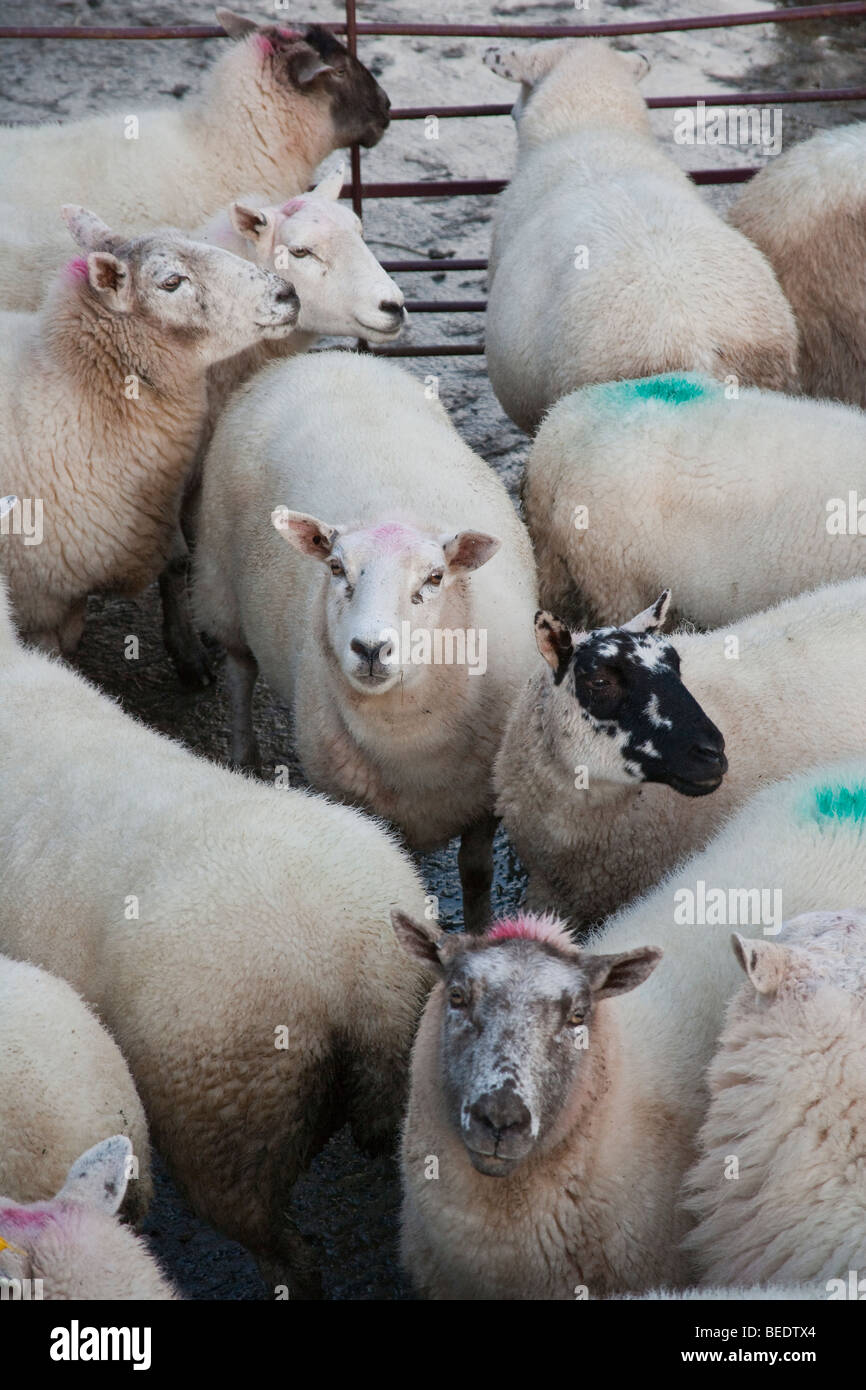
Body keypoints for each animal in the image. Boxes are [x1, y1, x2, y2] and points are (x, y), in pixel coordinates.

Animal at [192, 351, 539, 932]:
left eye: (435, 578)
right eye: (336, 568)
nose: (371, 649)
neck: (410, 738)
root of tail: (324, 356)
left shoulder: (483, 798)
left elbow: (475, 874)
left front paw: (479, 930)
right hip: (221, 587)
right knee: (239, 671)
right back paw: (244, 756)